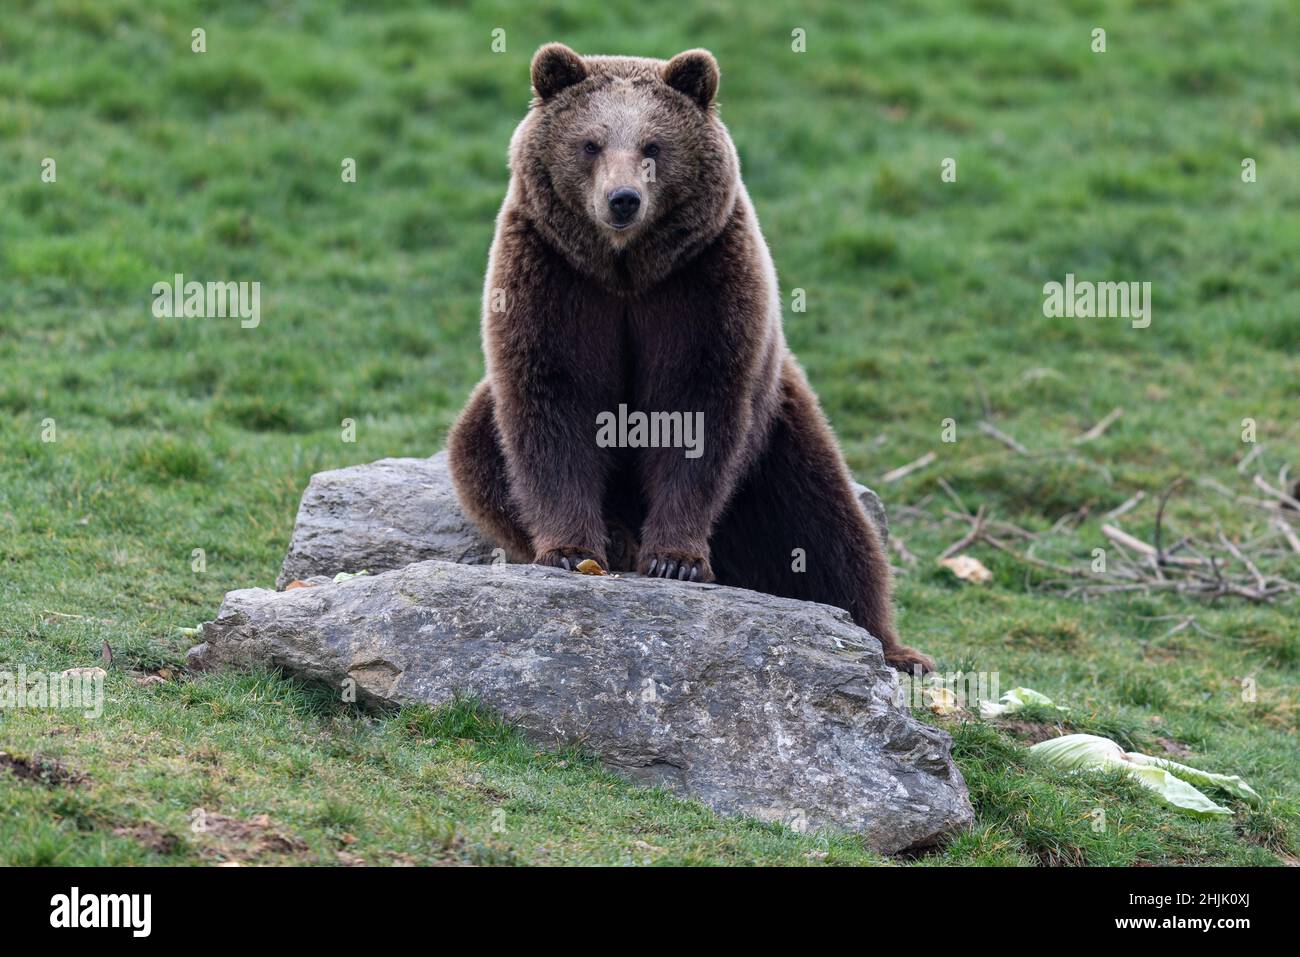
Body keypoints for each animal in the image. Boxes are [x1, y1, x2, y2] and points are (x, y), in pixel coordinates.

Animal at [447, 43, 933, 673]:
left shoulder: (701, 283)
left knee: (828, 531)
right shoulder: (553, 276)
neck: (626, 271)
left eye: (653, 145)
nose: (623, 199)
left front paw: (674, 558)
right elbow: (550, 405)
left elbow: (696, 410)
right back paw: (618, 535)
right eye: (590, 143)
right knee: (478, 449)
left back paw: (895, 649)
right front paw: (571, 549)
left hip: (779, 439)